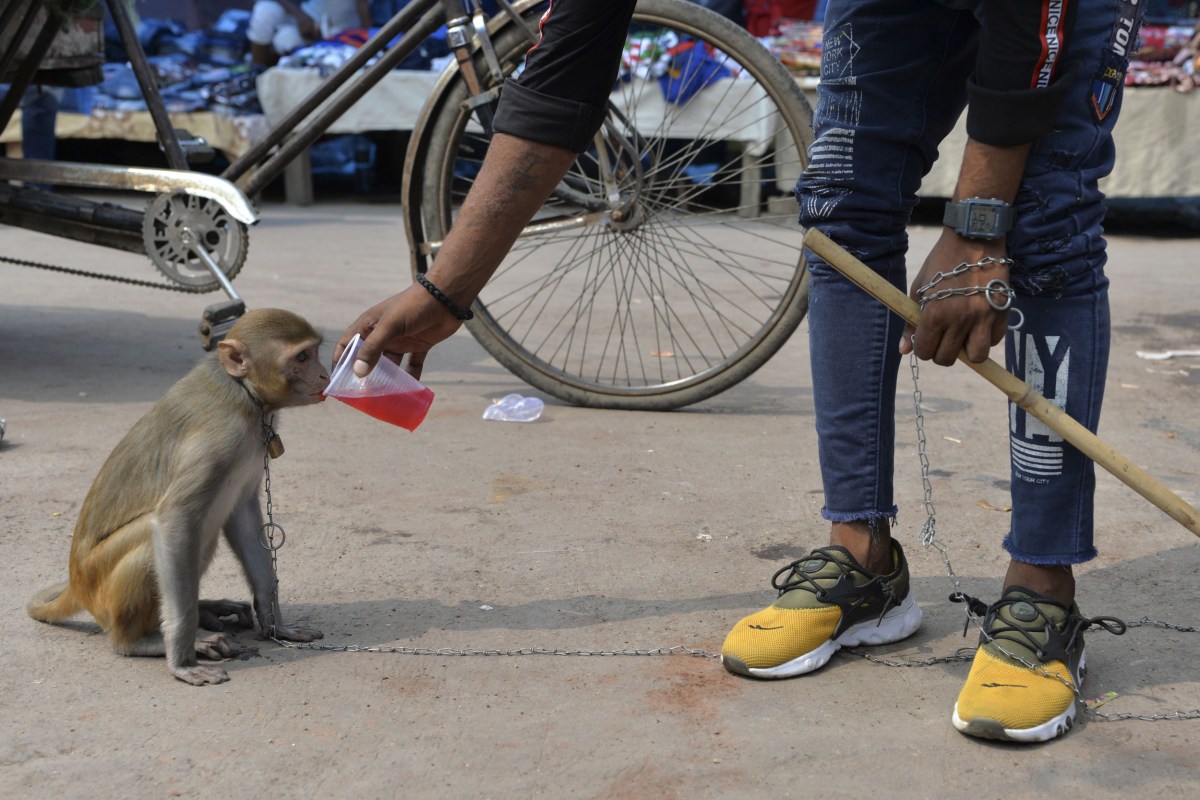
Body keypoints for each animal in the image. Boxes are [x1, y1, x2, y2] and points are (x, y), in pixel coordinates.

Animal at [28, 308, 329, 685]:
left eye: (314, 352)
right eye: (302, 357)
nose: (325, 374)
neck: (245, 395)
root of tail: (76, 584)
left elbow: (244, 517)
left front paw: (276, 625)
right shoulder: (218, 440)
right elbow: (174, 519)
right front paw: (182, 659)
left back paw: (207, 609)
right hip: (100, 583)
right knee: (162, 538)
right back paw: (142, 641)